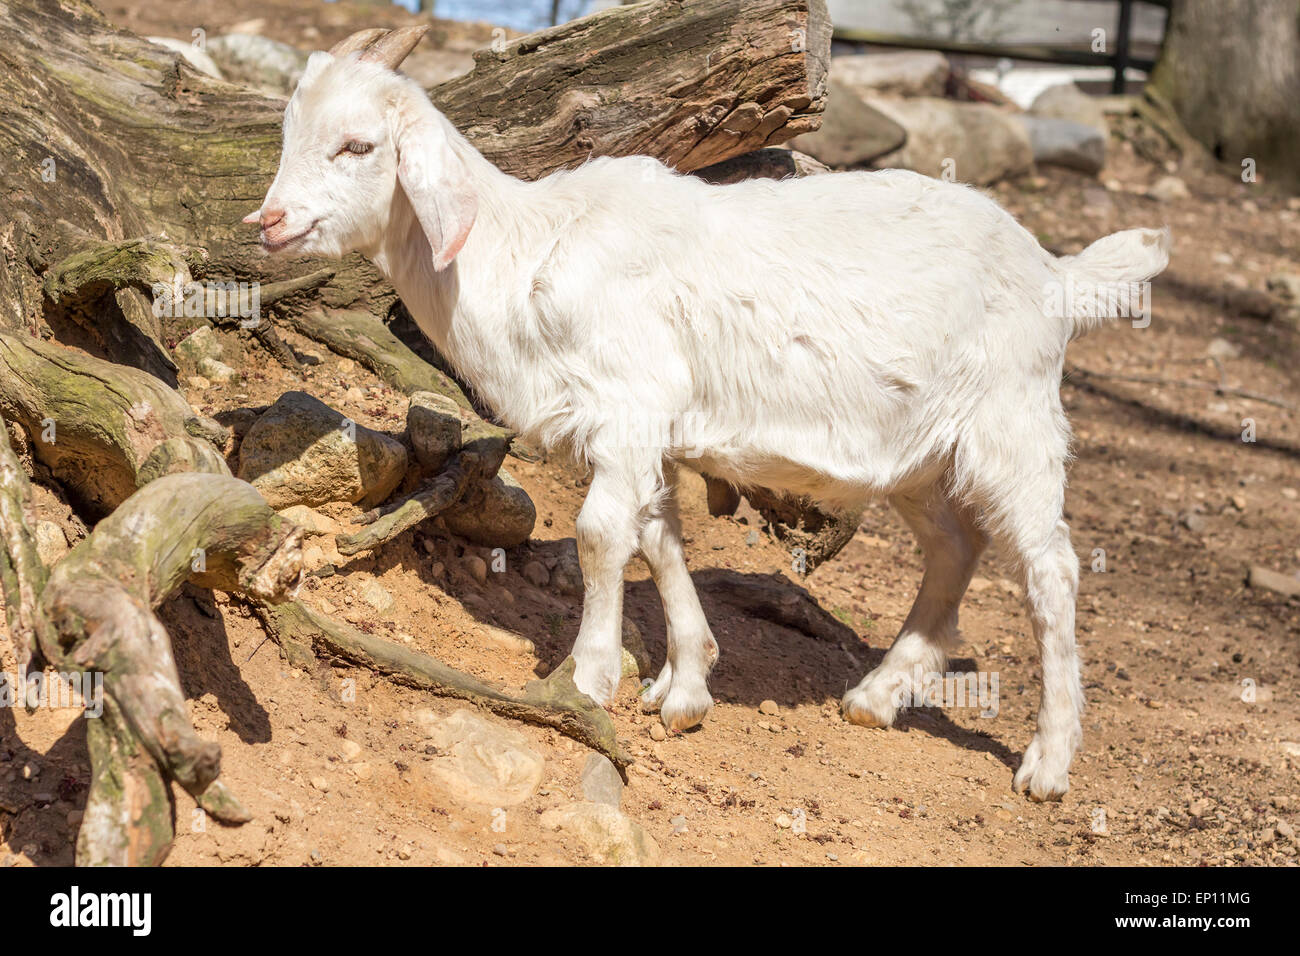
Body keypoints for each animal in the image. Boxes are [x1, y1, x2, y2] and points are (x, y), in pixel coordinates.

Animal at [247, 26, 1170, 801]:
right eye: (289, 134)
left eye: (359, 145)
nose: (269, 222)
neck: (522, 252)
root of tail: (1056, 273)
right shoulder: (645, 429)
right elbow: (659, 537)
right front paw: (686, 683)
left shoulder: (630, 402)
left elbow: (600, 535)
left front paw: (589, 677)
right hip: (919, 450)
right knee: (954, 546)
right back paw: (878, 695)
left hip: (1013, 419)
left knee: (1051, 568)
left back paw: (1048, 761)